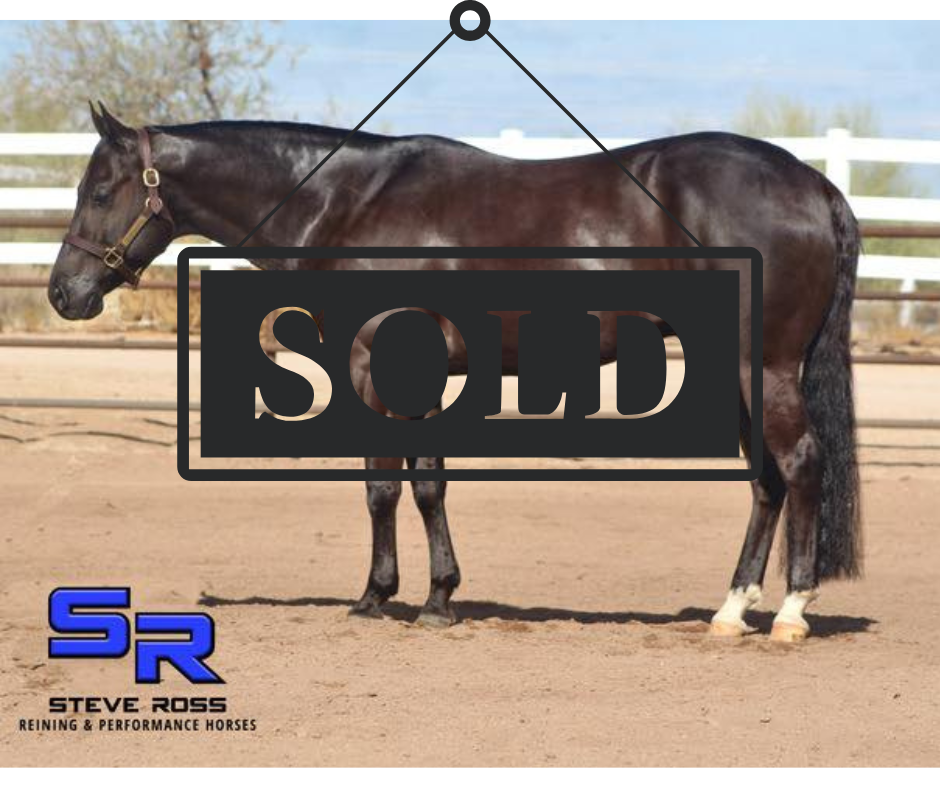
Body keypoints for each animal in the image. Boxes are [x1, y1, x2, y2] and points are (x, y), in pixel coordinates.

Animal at [49, 103, 861, 642]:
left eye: (99, 191)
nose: (65, 292)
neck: (346, 206)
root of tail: (814, 187)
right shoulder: (420, 374)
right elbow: (428, 483)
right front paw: (438, 597)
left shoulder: (374, 365)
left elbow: (383, 486)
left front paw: (378, 597)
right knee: (765, 479)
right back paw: (731, 610)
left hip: (765, 366)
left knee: (799, 462)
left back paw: (791, 614)